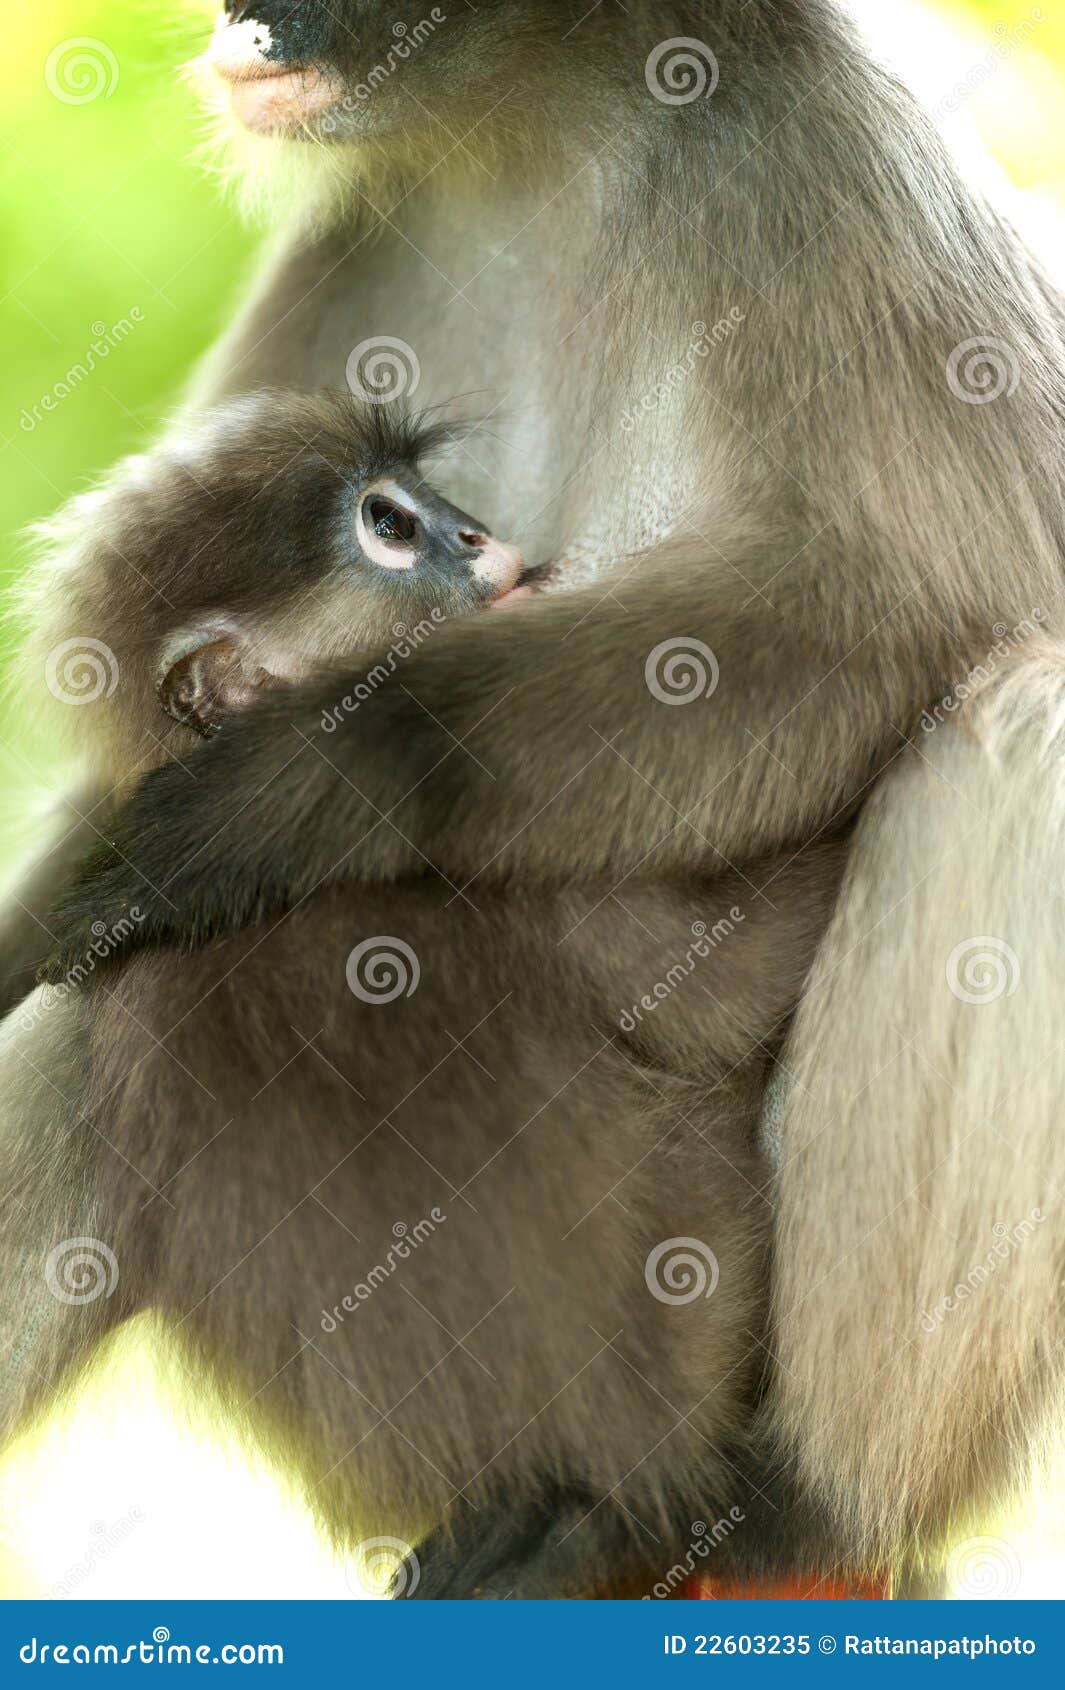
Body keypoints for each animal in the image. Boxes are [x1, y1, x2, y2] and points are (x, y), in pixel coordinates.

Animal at [5, 0, 1065, 1595]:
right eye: (392, 521)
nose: (244, 25)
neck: (552, 119)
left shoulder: (821, 148)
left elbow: (895, 611)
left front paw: (321, 782)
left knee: (1029, 713)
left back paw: (788, 1502)